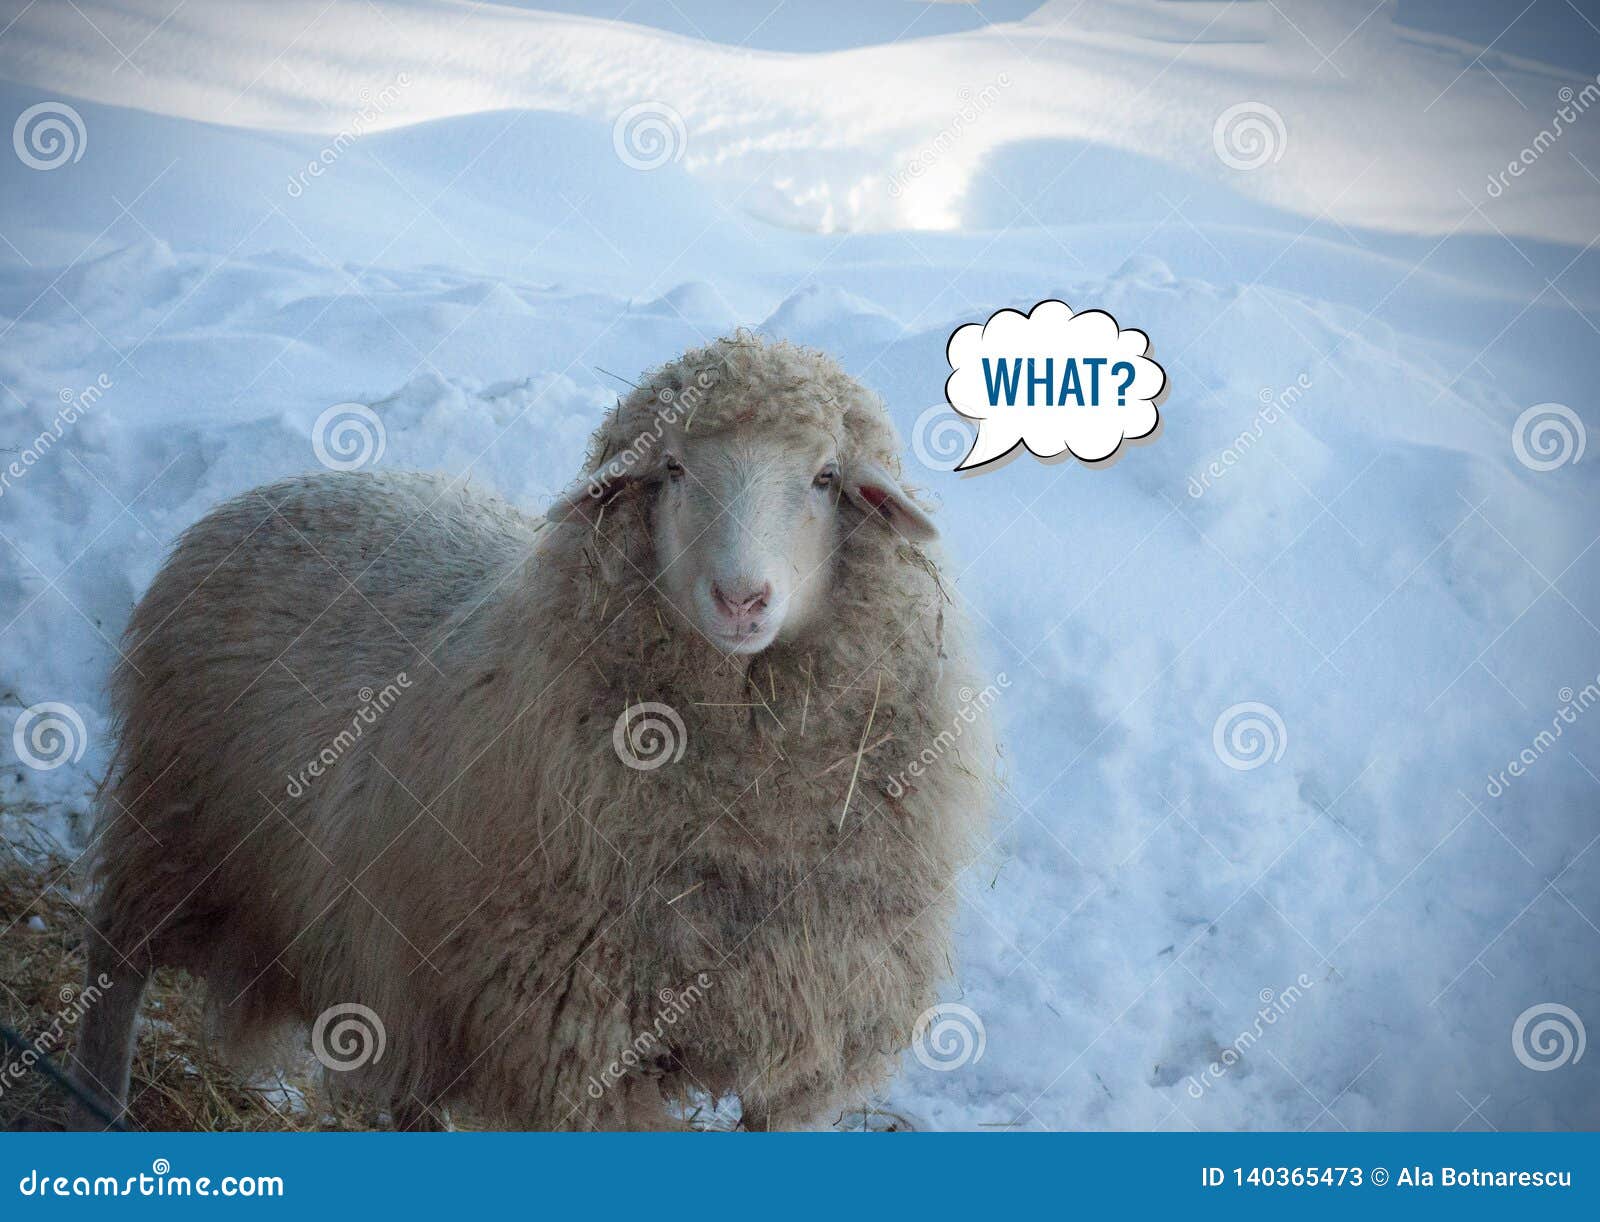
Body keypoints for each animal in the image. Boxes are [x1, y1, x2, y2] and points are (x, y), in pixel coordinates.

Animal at [70, 333, 993, 1131]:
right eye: (673, 468)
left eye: (825, 477)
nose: (742, 599)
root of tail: (275, 490)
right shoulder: (576, 1045)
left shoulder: (800, 1035)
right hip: (180, 822)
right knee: (114, 961)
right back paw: (95, 1098)